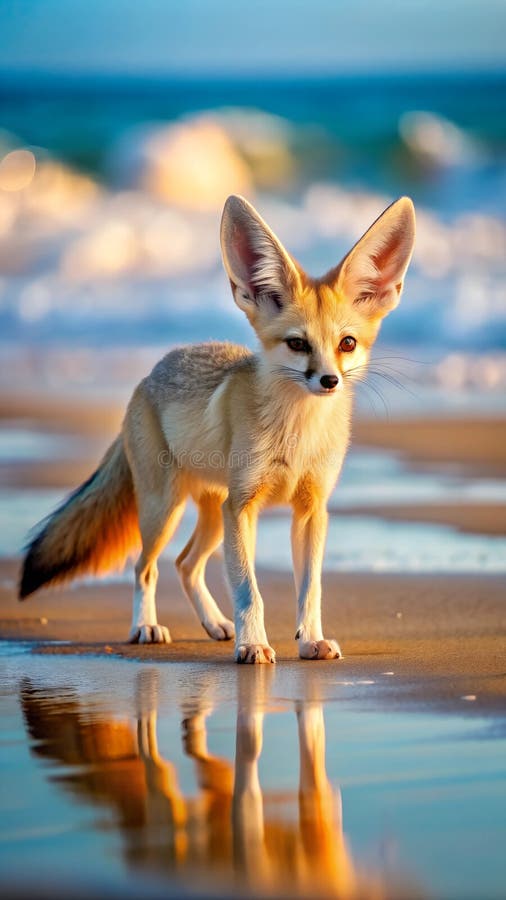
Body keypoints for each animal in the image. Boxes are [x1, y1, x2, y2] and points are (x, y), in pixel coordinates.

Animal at [19, 194, 415, 663]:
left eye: (347, 343)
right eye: (297, 344)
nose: (329, 381)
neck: (295, 437)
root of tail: (149, 375)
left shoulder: (310, 509)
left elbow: (310, 590)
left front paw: (310, 640)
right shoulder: (243, 506)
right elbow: (249, 590)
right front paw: (254, 644)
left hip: (212, 516)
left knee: (185, 564)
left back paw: (214, 624)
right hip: (167, 511)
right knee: (145, 567)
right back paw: (146, 626)